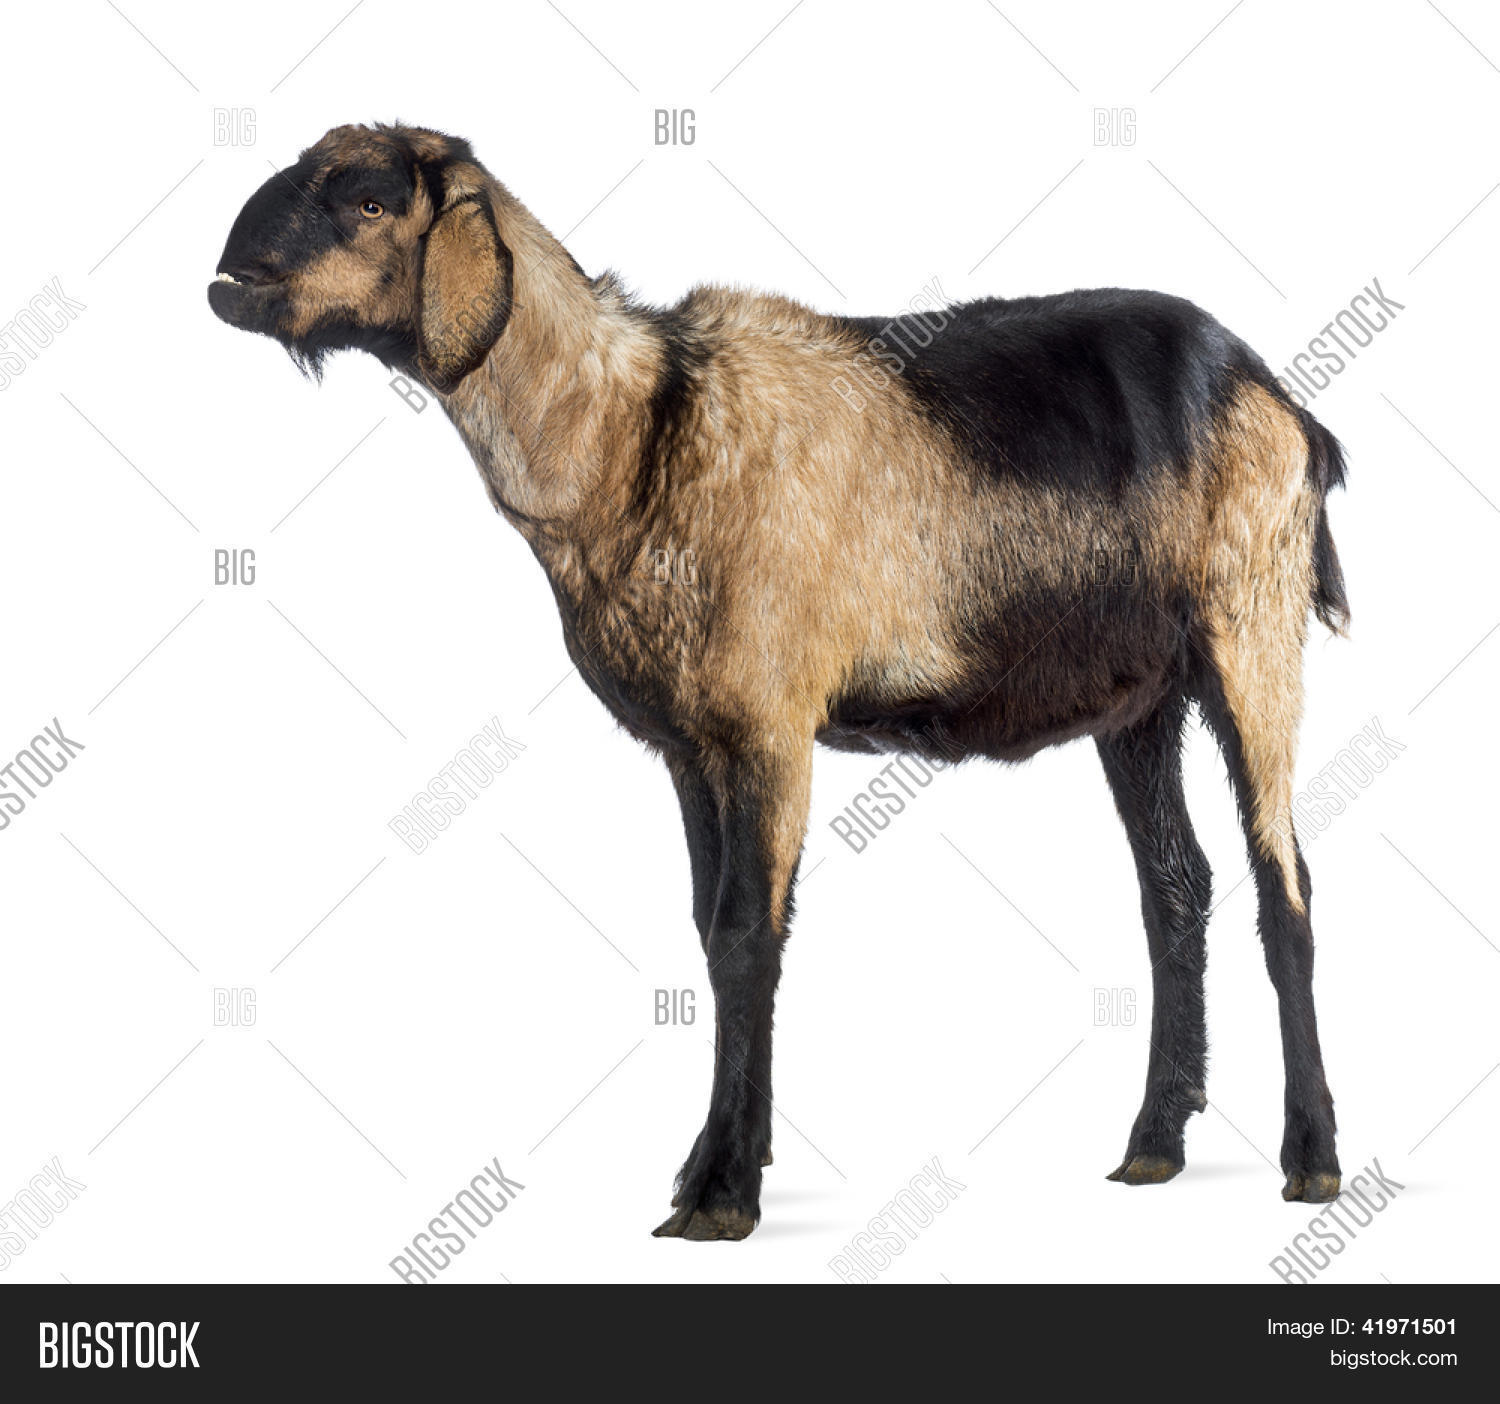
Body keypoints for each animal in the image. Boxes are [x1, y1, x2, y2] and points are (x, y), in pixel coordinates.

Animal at [210, 123, 1348, 1240]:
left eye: (368, 202)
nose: (229, 278)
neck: (634, 432)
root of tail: (1283, 403)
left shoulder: (770, 722)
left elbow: (747, 936)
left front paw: (721, 1193)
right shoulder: (691, 745)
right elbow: (709, 928)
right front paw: (722, 1162)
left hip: (1252, 627)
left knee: (1285, 887)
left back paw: (1313, 1160)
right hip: (1140, 698)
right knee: (1177, 889)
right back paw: (1155, 1144)